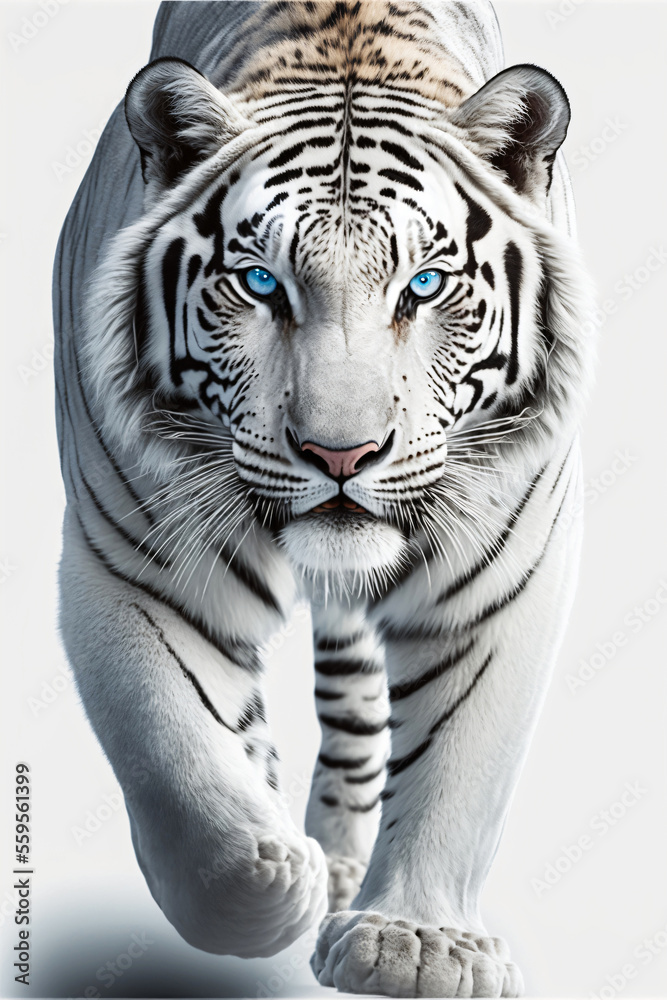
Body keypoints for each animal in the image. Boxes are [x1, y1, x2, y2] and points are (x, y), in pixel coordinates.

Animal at [53, 1, 595, 996]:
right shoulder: (134, 564)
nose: (339, 453)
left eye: (424, 285)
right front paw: (260, 884)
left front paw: (416, 944)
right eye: (260, 283)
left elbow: (456, 771)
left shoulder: (497, 579)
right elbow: (168, 744)